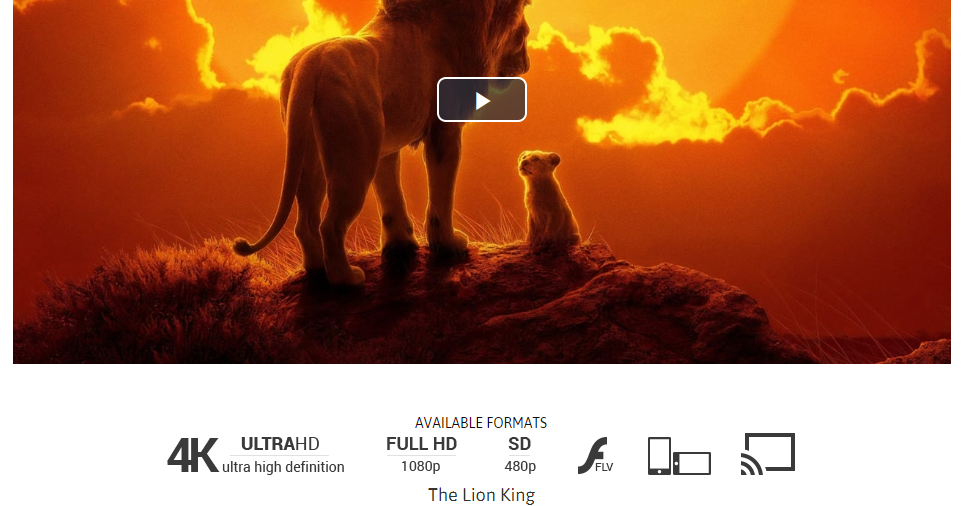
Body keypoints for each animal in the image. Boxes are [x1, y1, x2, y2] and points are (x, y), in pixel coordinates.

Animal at [233, 0, 532, 285]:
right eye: (525, 34)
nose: (527, 64)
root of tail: (310, 63)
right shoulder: (444, 132)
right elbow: (441, 195)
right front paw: (449, 245)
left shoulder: (385, 145)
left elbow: (390, 195)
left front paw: (401, 244)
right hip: (354, 160)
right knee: (331, 225)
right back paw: (346, 279)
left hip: (310, 154)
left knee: (306, 221)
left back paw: (317, 270)